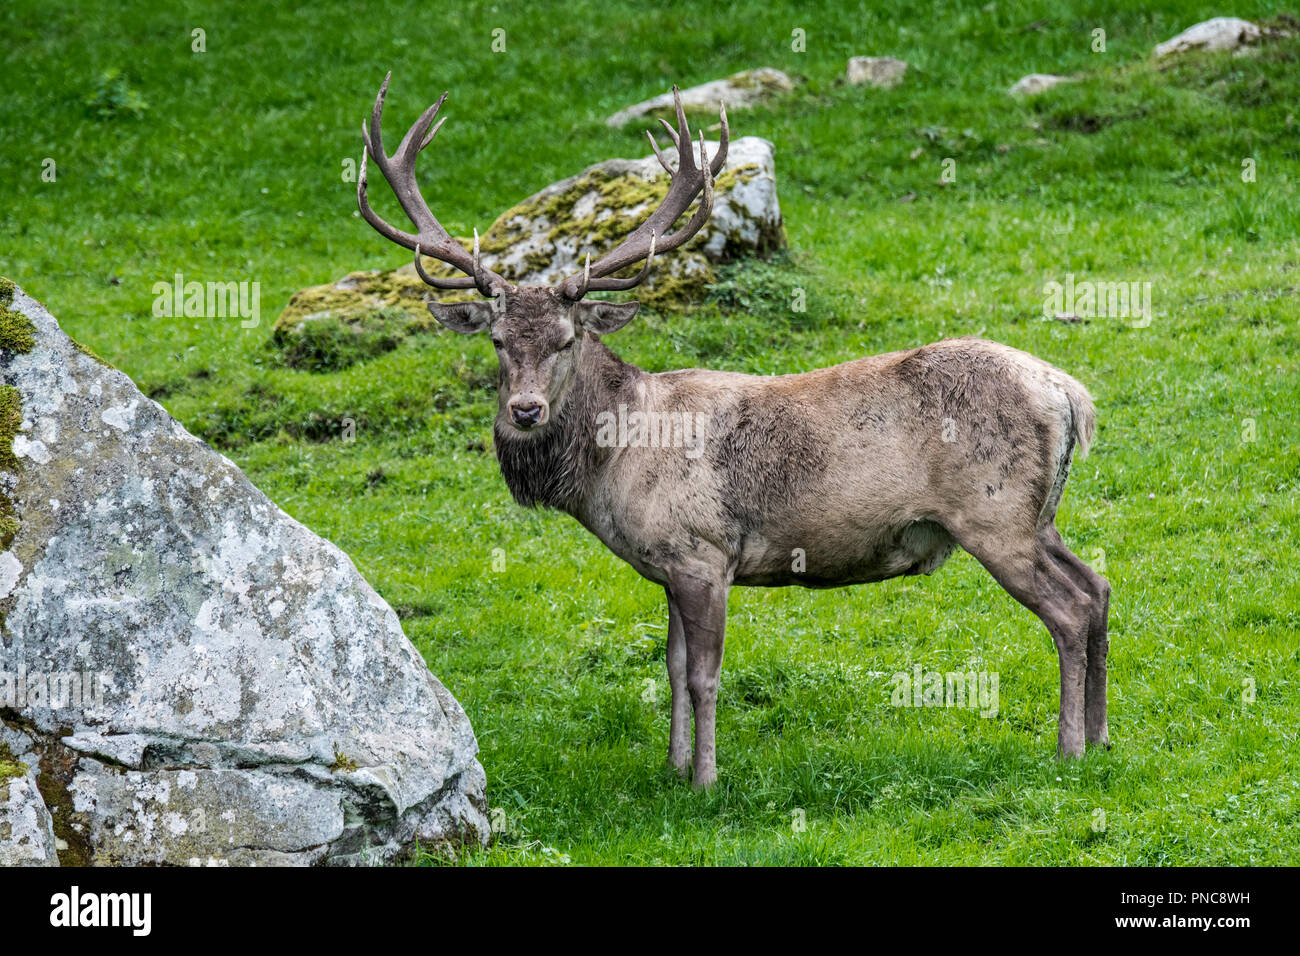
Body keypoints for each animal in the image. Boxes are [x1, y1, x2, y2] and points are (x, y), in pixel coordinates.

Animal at [356, 75, 1112, 788]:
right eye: (497, 341)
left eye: (568, 339)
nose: (525, 411)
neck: (612, 467)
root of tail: (1071, 396)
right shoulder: (666, 565)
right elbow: (669, 667)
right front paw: (670, 768)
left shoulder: (703, 552)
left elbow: (702, 675)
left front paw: (706, 780)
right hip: (1039, 515)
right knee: (1100, 585)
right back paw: (1103, 737)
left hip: (994, 515)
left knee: (1070, 608)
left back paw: (1070, 748)